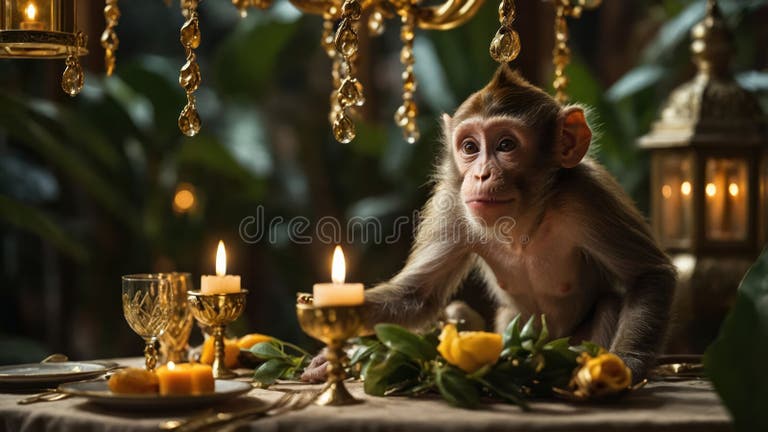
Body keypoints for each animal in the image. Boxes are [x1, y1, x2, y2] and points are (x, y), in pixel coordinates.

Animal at [302, 65, 676, 383]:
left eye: (506, 145)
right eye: (470, 147)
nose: (481, 174)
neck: (524, 222)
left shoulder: (588, 198)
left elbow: (650, 275)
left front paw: (626, 364)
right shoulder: (452, 205)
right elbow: (416, 296)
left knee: (611, 302)